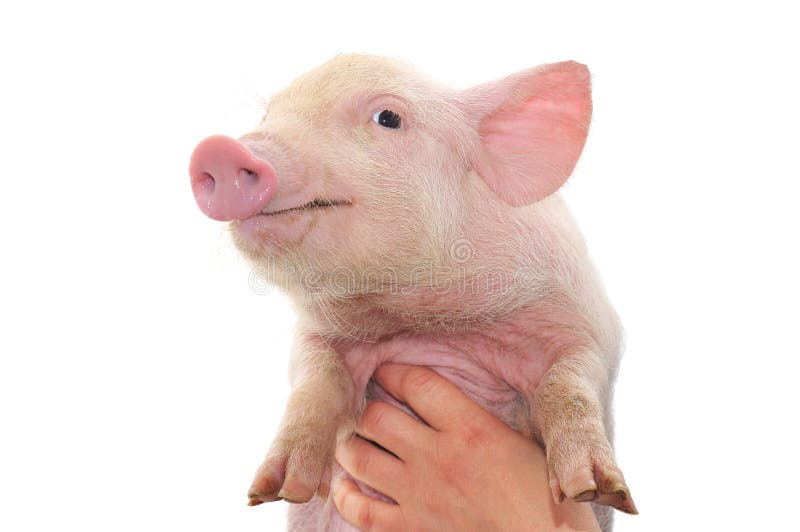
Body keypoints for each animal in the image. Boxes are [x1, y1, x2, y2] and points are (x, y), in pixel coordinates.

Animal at [189, 54, 636, 531]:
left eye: (388, 118)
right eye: (267, 115)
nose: (218, 149)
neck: (424, 321)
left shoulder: (592, 328)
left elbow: (567, 385)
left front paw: (595, 489)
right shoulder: (314, 337)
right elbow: (316, 382)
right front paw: (271, 489)